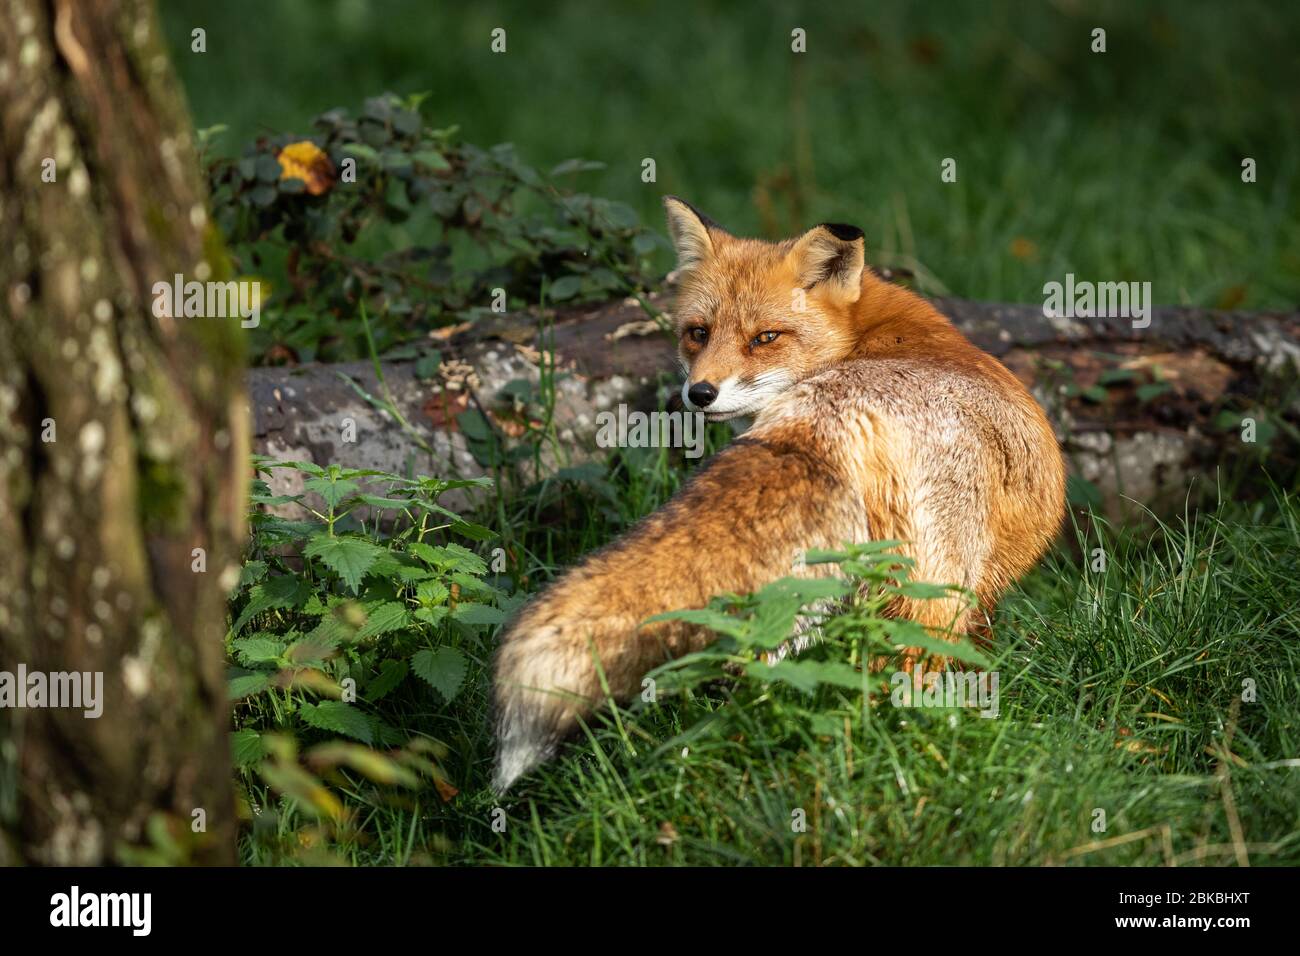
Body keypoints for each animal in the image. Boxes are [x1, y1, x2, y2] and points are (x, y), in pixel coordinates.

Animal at [491, 196, 1065, 791]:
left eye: (765, 337)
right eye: (699, 332)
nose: (700, 393)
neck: (869, 339)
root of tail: (836, 411)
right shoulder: (980, 592)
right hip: (932, 596)